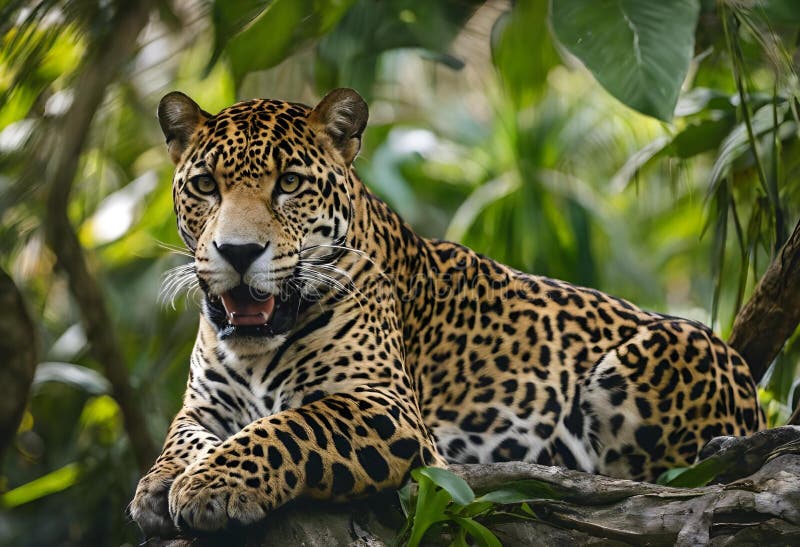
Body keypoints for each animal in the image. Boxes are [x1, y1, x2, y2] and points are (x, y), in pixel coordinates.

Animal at [129, 88, 764, 537]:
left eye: (288, 183)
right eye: (205, 185)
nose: (237, 252)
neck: (255, 352)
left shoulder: (384, 407)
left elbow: (287, 428)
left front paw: (211, 486)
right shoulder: (204, 405)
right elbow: (181, 439)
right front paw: (160, 484)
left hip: (657, 355)